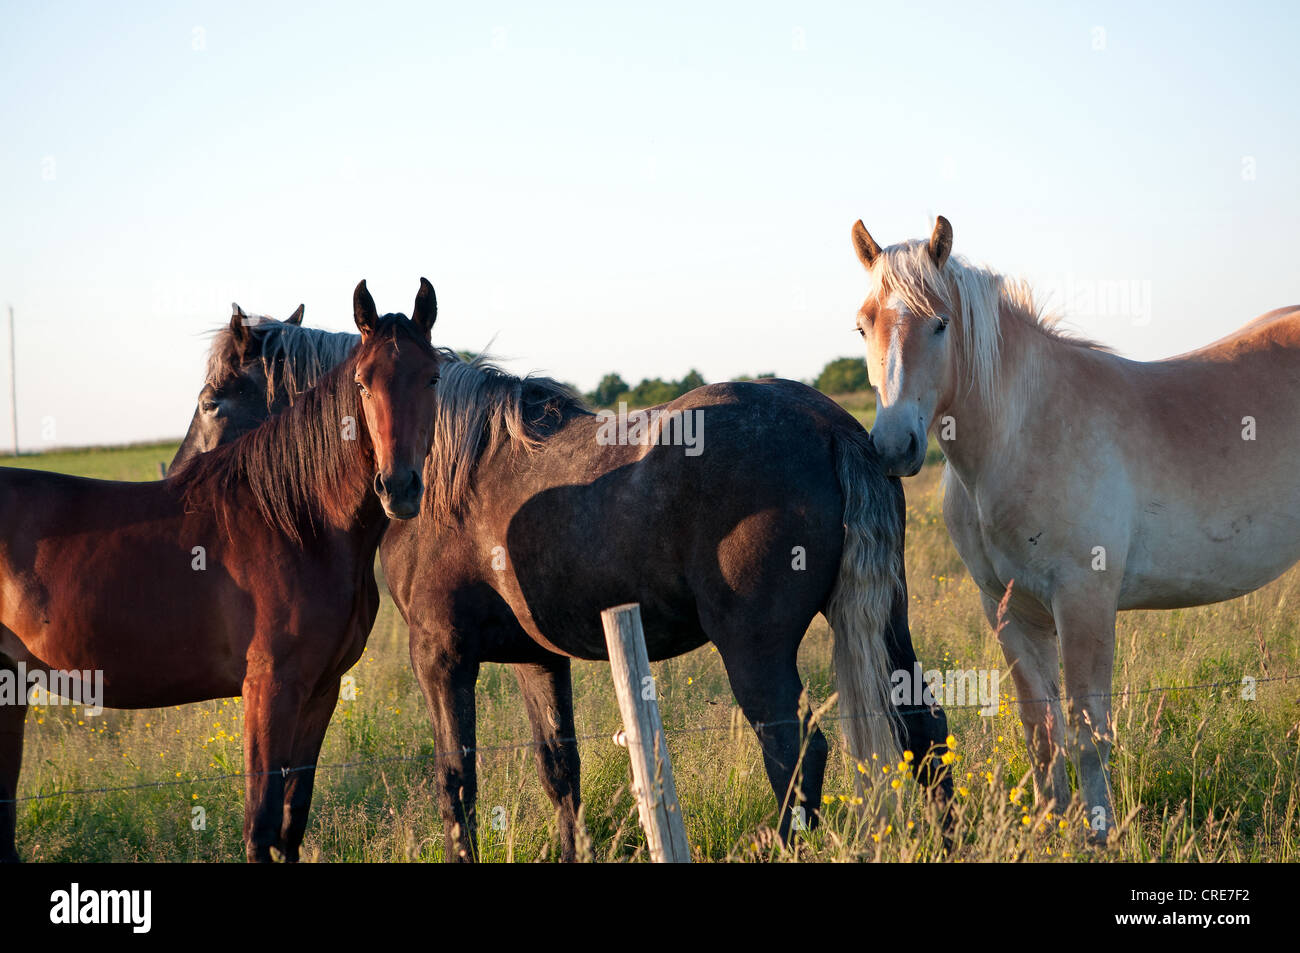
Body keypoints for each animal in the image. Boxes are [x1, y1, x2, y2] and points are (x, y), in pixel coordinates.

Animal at [0, 280, 442, 862]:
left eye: (433, 377)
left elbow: (291, 824)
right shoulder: (267, 690)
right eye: (363, 383)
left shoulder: (319, 692)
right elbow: (260, 826)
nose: (399, 487)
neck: (299, 521)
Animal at [173, 310, 954, 861]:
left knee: (799, 757)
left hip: (754, 652)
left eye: (212, 400)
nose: (178, 481)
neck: (442, 467)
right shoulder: (536, 657)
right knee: (926, 736)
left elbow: (456, 781)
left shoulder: (440, 658)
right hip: (891, 625)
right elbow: (560, 770)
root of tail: (828, 424)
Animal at [849, 214, 1300, 839]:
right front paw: (1049, 826)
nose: (893, 447)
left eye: (940, 324)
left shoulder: (1084, 603)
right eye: (864, 324)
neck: (1023, 433)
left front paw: (1098, 833)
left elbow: (1089, 734)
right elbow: (1042, 733)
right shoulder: (1009, 611)